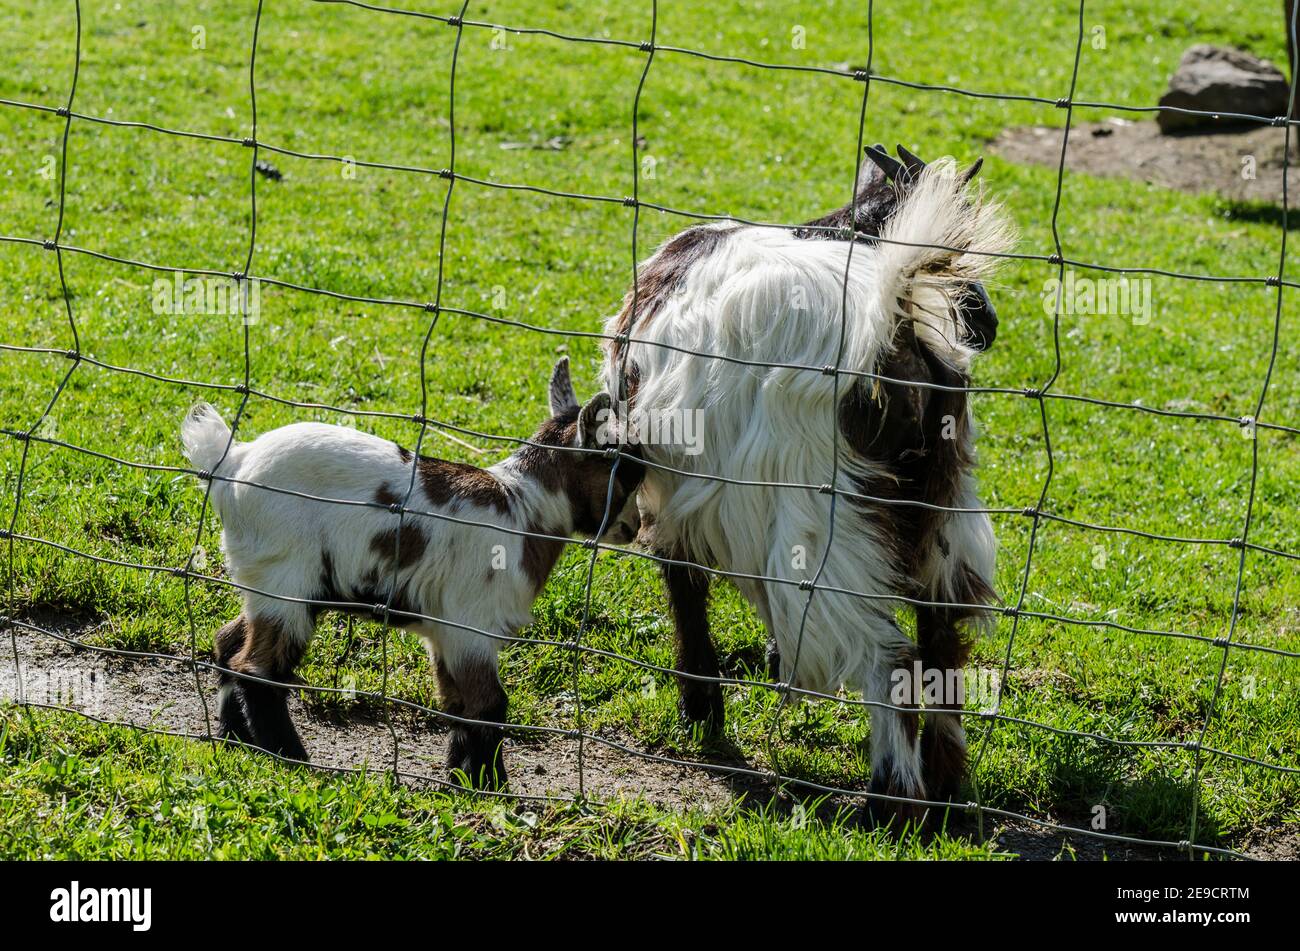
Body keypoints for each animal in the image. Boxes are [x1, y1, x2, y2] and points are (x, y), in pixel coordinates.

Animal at [180, 358, 643, 788]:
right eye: (625, 475)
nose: (635, 528)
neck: (522, 505)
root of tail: (233, 463)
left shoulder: (444, 631)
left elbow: (458, 704)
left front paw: (460, 778)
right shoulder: (470, 624)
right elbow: (489, 704)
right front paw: (492, 787)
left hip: (267, 582)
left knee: (228, 643)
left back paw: (235, 738)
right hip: (287, 579)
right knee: (258, 669)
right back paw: (290, 756)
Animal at [601, 145, 1014, 823]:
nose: (986, 322)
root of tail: (895, 324)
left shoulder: (673, 486)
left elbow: (682, 580)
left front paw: (700, 707)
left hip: (823, 523)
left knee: (889, 656)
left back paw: (891, 806)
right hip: (941, 514)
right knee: (942, 639)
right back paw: (947, 792)